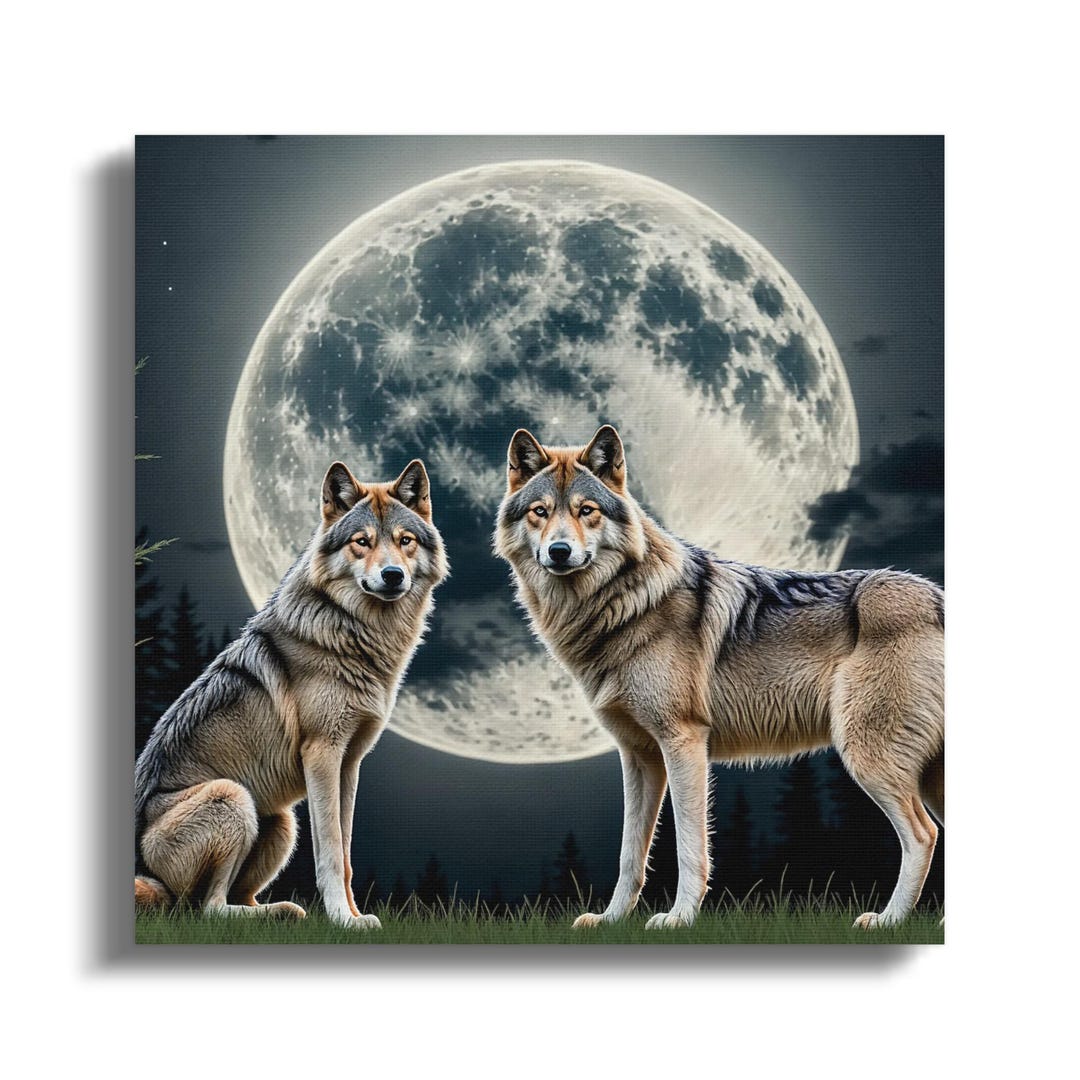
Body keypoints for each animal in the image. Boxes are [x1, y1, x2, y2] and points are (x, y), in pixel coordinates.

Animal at [134, 458, 448, 928]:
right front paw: (341, 920)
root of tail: (145, 874)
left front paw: (356, 916)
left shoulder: (350, 762)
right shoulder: (322, 754)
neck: (356, 632)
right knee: (207, 909)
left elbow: (347, 851)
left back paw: (283, 911)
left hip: (282, 822)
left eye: (404, 540)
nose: (392, 576)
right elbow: (331, 852)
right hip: (233, 797)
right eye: (362, 542)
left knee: (237, 898)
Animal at [494, 425, 943, 930]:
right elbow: (630, 854)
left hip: (868, 758)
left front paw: (678, 919)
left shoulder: (684, 742)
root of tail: (937, 596)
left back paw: (888, 920)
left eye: (585, 510)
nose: (559, 551)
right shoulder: (638, 756)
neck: (620, 605)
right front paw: (610, 920)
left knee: (923, 835)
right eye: (540, 511)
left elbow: (689, 846)